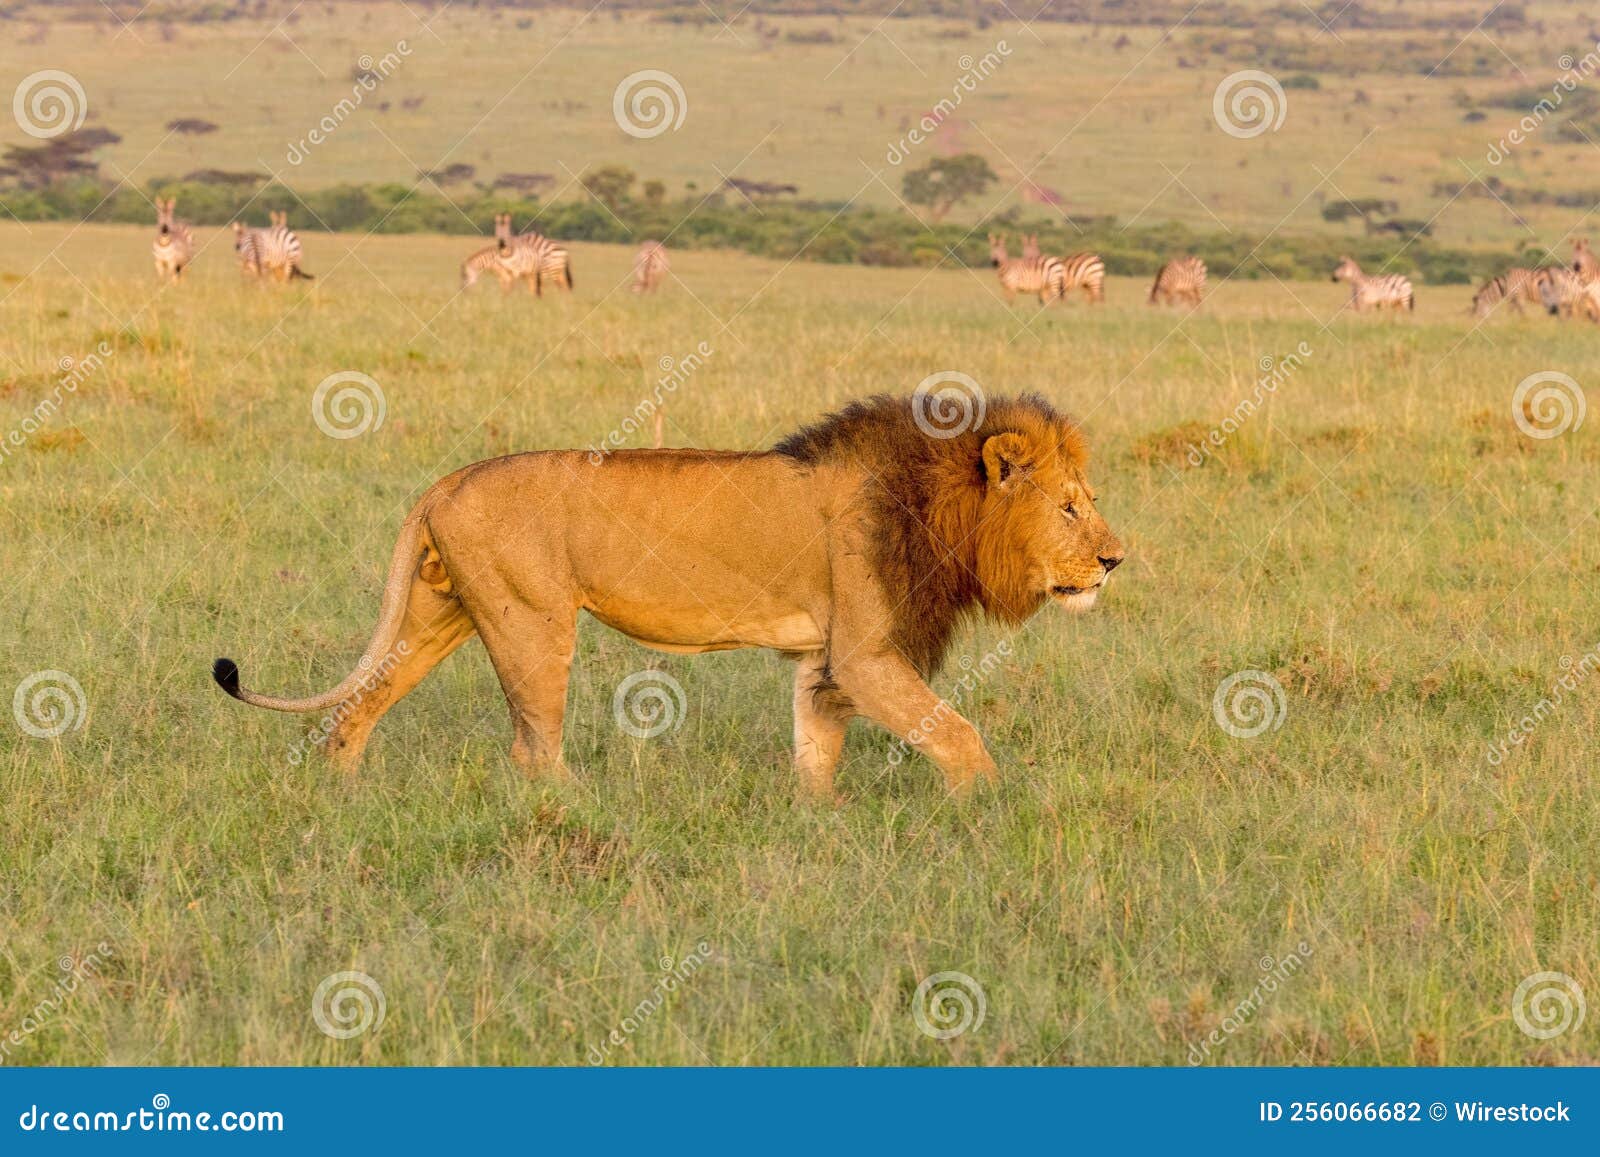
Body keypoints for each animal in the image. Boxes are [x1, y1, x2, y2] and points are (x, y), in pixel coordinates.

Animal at [212, 393, 1124, 798]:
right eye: (1069, 507)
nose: (1115, 560)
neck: (938, 503)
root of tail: (447, 479)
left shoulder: (823, 658)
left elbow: (817, 747)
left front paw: (816, 816)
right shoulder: (866, 654)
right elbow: (959, 734)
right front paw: (986, 809)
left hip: (443, 612)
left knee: (356, 707)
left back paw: (342, 793)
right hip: (532, 619)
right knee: (533, 748)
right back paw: (581, 812)